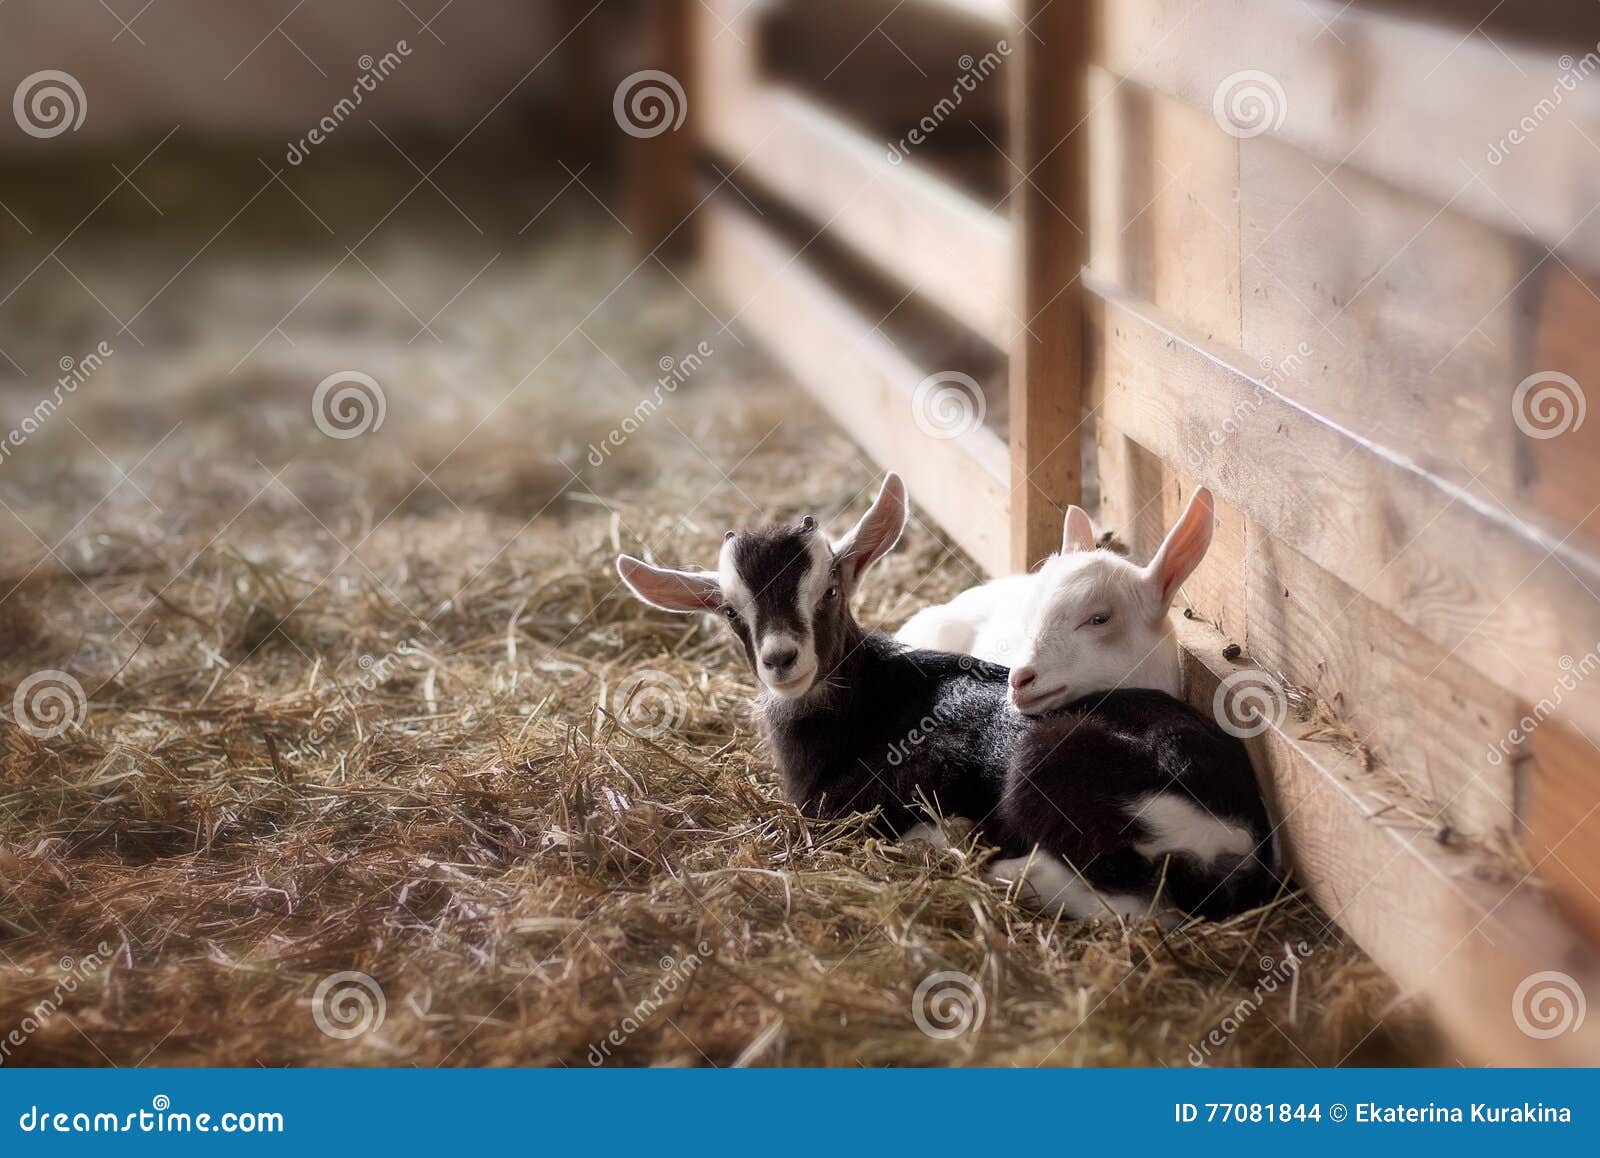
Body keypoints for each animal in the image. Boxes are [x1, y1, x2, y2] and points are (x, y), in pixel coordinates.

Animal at [616, 474, 1277, 921]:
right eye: (732, 611)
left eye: (829, 589)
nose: (782, 659)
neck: (870, 694)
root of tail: (1231, 838)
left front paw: (945, 837)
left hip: (1049, 771)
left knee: (1140, 909)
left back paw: (1001, 866)